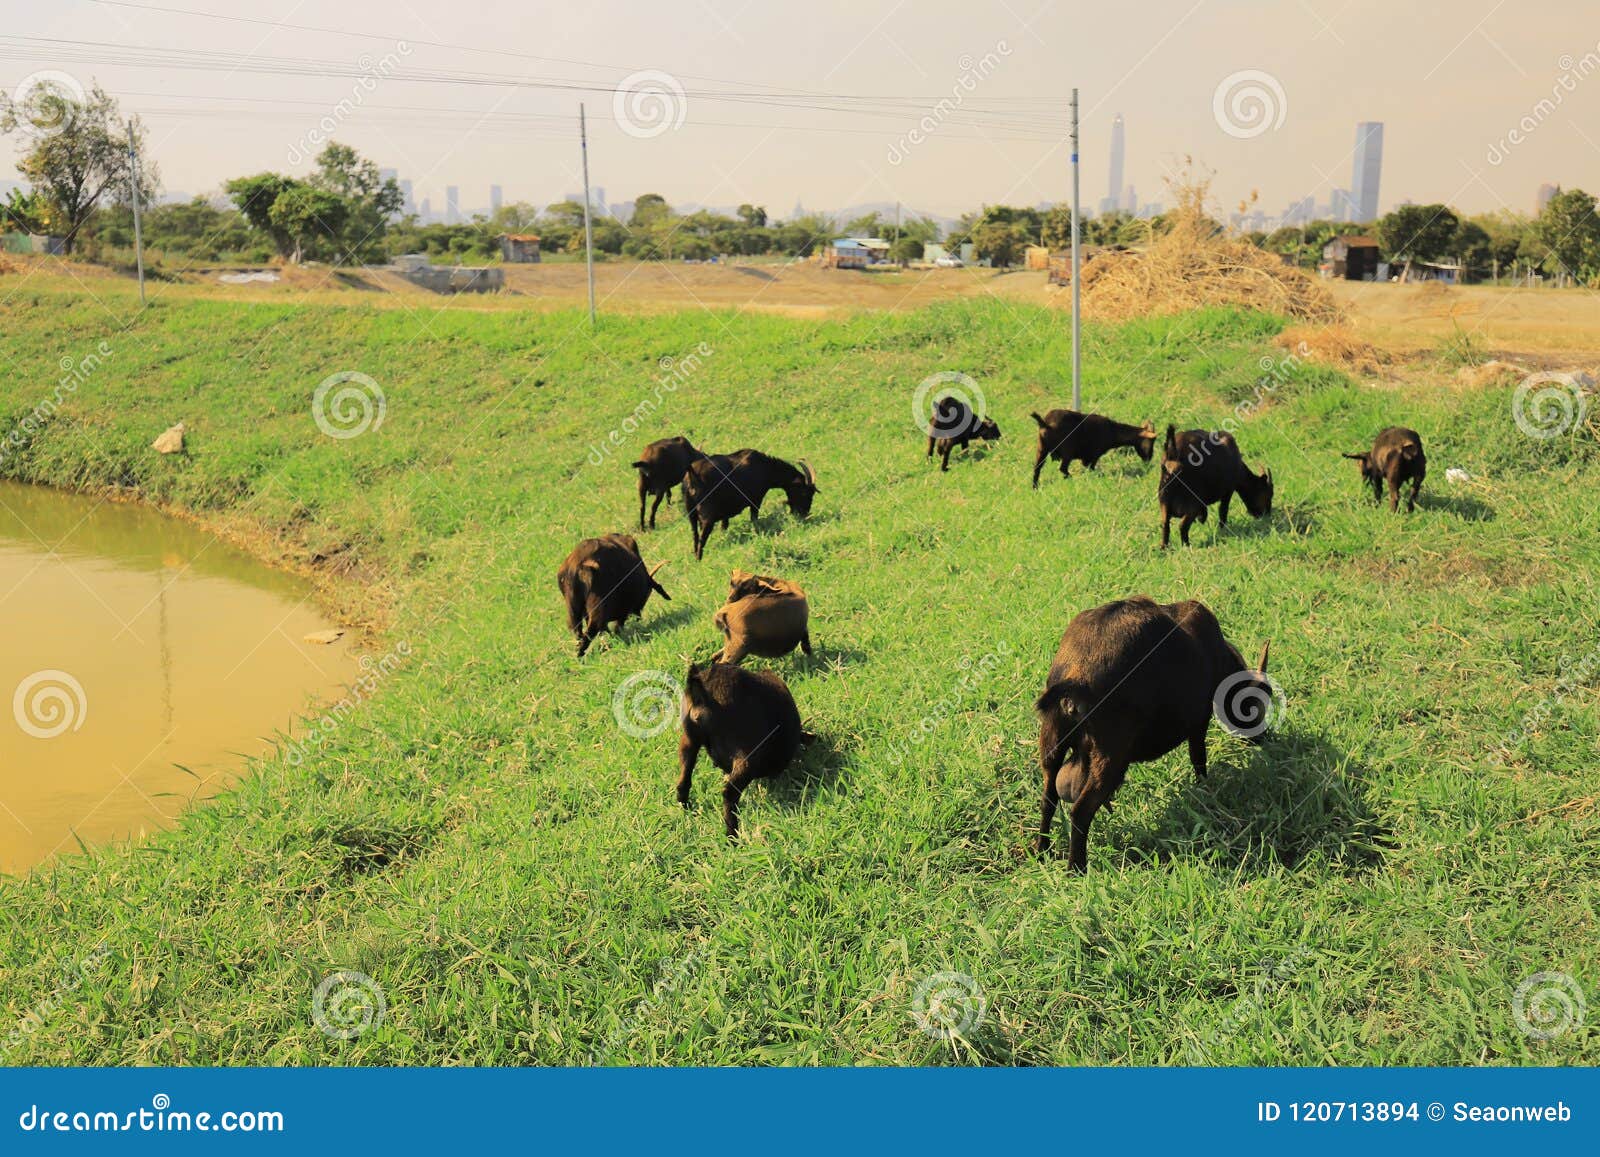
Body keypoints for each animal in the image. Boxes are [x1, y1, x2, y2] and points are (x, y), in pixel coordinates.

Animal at [677, 661, 804, 838]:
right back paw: (733, 835)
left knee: (684, 777)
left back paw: (685, 807)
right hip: (746, 756)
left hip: (689, 741)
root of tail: (703, 694)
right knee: (729, 793)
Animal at [682, 449, 817, 560]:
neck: (766, 467)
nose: (804, 514)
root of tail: (693, 475)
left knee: (695, 534)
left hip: (691, 512)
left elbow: (724, 525)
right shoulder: (756, 499)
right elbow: (754, 518)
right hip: (707, 514)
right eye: (805, 492)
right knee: (702, 536)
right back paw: (699, 559)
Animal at [1034, 596, 1273, 872]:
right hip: (1110, 752)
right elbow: (1198, 759)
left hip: (1052, 740)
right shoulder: (1199, 720)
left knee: (1048, 797)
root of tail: (1076, 677)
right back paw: (1076, 868)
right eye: (1256, 704)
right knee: (1081, 810)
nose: (1262, 737)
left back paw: (1042, 849)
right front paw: (1206, 790)